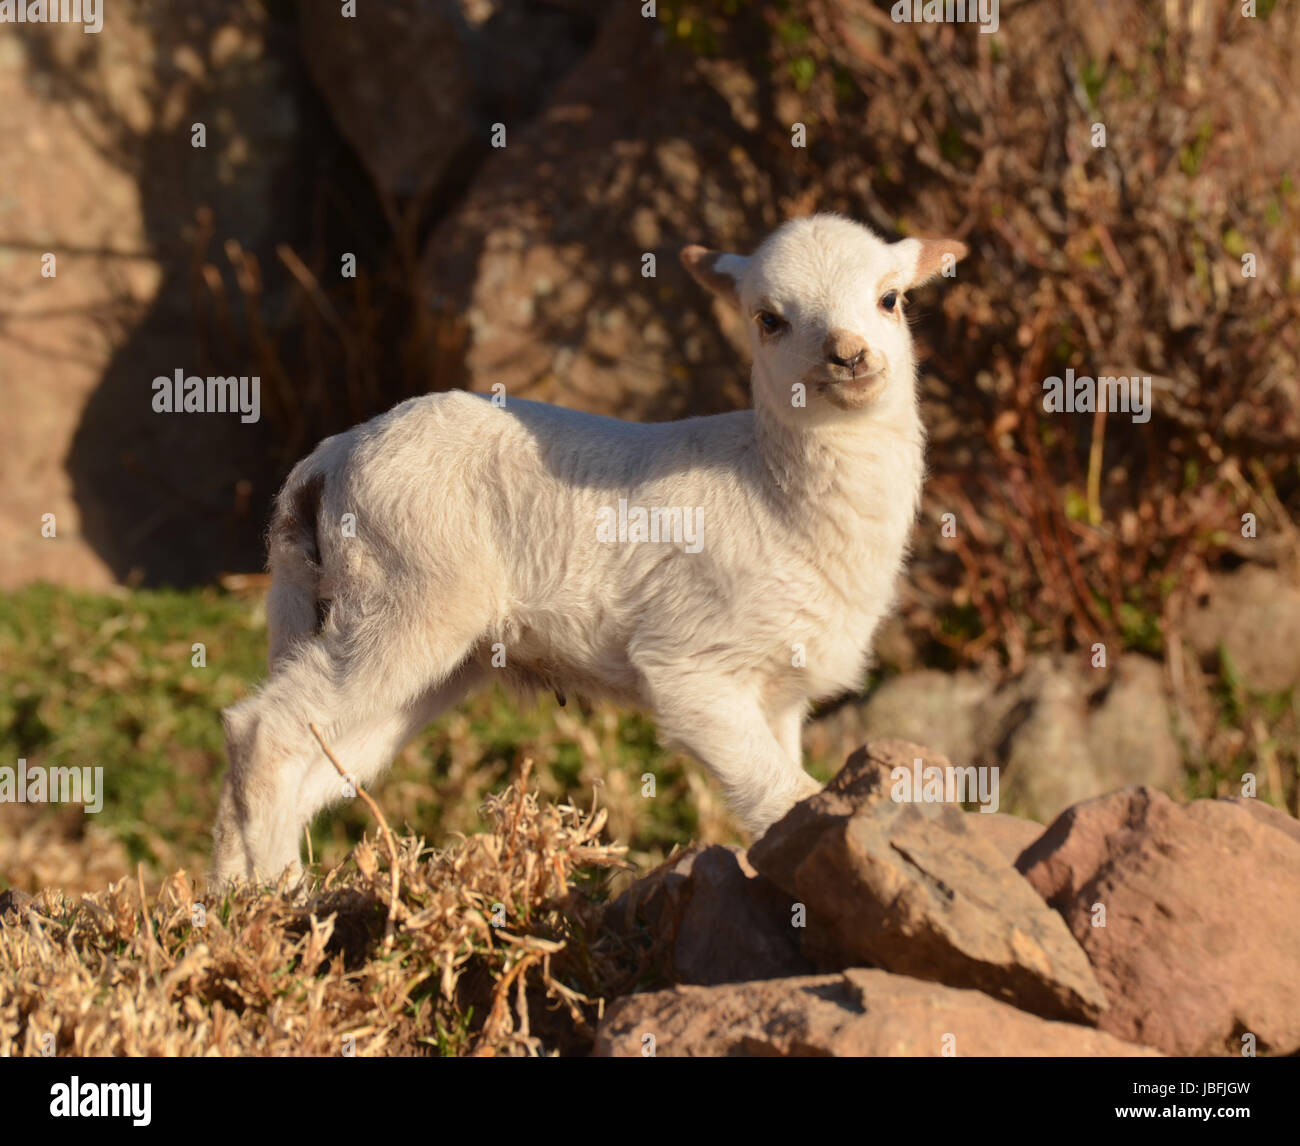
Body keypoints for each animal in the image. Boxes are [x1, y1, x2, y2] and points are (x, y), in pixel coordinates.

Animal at [211, 213, 968, 887]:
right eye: (768, 319)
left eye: (891, 298)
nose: (849, 354)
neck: (772, 489)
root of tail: (330, 457)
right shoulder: (689, 665)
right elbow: (784, 794)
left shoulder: (778, 691)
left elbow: (777, 799)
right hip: (404, 593)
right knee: (265, 728)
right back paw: (276, 896)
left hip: (413, 633)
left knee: (323, 761)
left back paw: (232, 902)